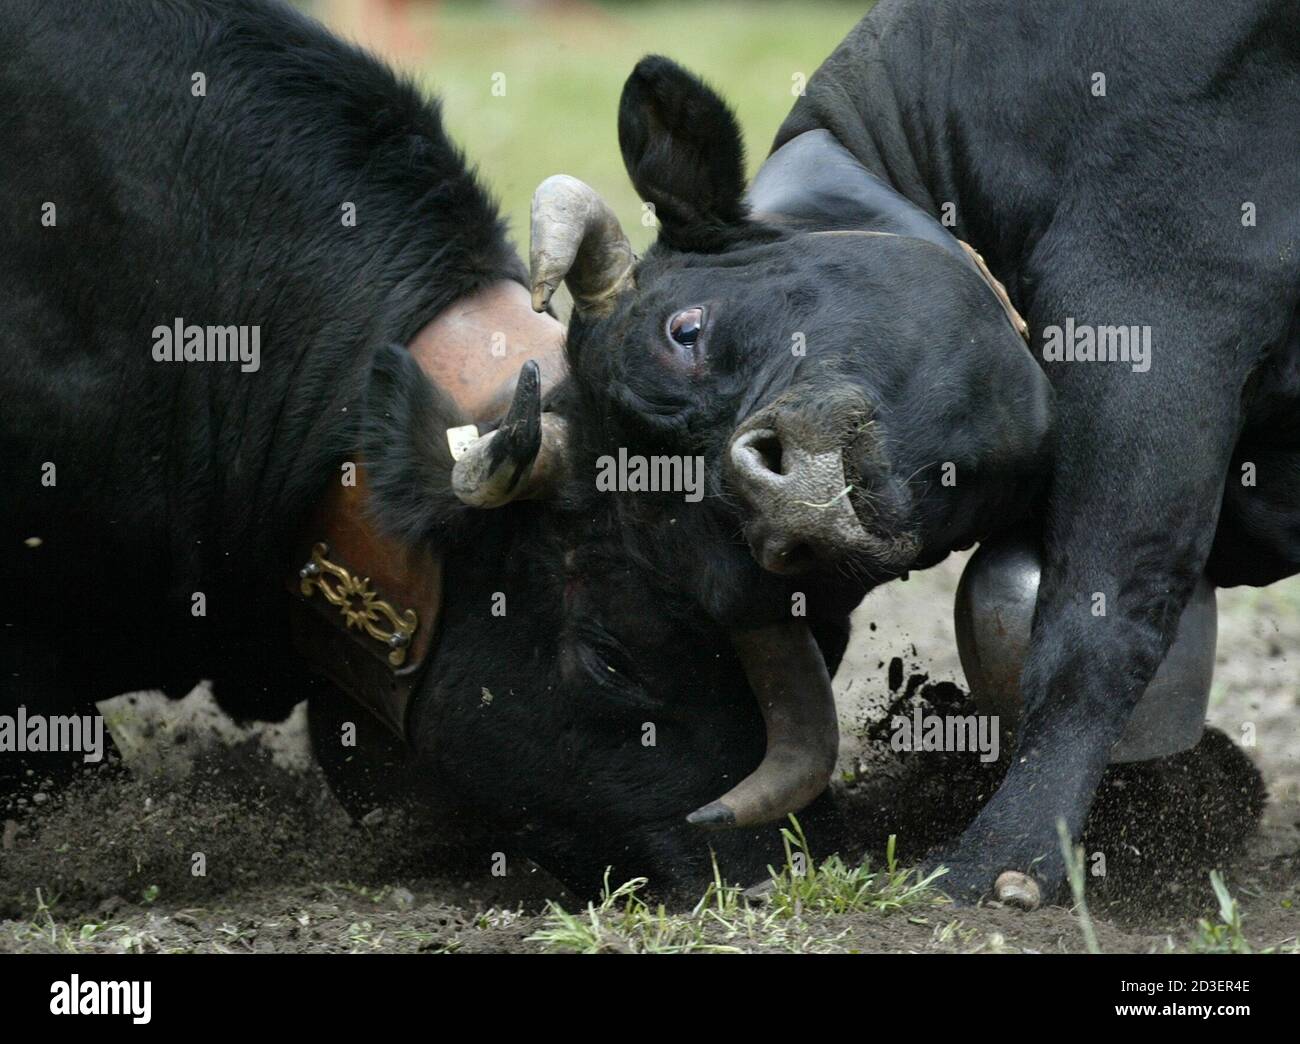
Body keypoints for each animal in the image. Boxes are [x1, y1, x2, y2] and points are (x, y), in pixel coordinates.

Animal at [528, 0, 1299, 903]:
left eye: (684, 329)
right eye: (695, 546)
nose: (765, 499)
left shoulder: (1159, 320)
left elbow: (1095, 628)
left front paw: (1006, 857)